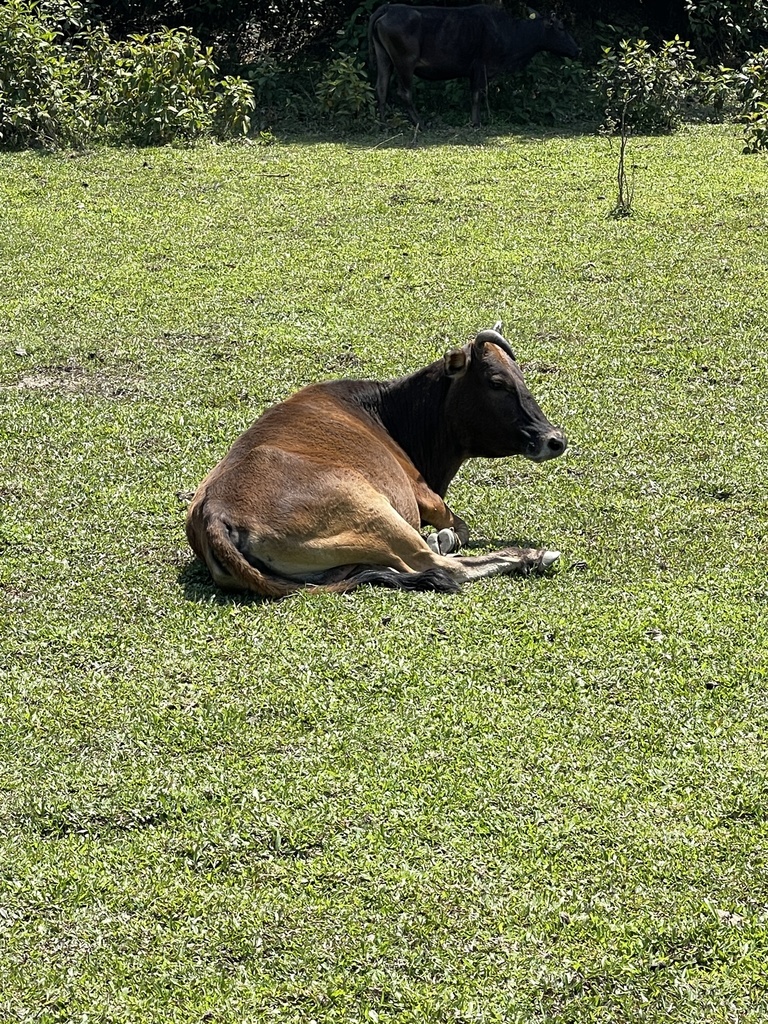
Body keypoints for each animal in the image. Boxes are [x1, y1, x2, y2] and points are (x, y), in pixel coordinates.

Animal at [185, 324, 567, 599]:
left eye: (521, 378)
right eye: (497, 382)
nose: (555, 439)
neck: (385, 409)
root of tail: (215, 512)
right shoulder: (424, 493)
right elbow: (458, 526)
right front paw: (445, 537)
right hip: (376, 513)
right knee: (438, 566)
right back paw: (530, 556)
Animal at [368, 4, 580, 127]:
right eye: (561, 27)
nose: (577, 50)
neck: (511, 35)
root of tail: (386, 9)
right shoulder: (480, 65)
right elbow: (477, 94)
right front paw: (475, 122)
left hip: (383, 56)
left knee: (381, 87)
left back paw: (383, 123)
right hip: (405, 60)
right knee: (403, 92)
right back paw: (420, 123)